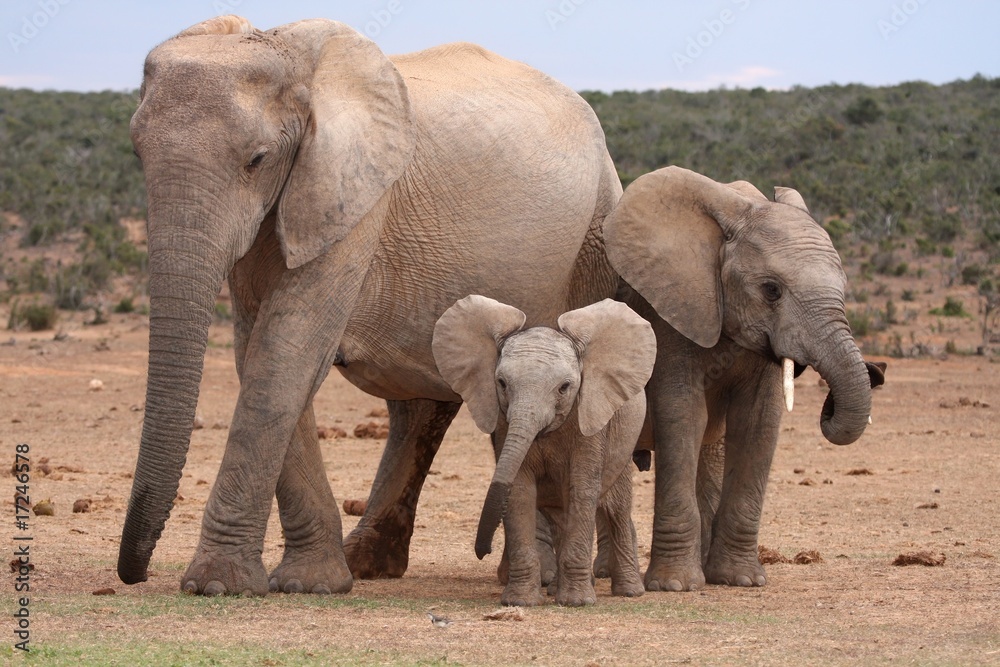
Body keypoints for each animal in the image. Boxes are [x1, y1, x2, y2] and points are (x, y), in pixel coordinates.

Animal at [117, 15, 622, 596]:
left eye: (257, 160)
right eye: (137, 154)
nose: (134, 573)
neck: (291, 55)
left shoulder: (355, 199)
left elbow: (285, 350)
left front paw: (218, 585)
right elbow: (260, 353)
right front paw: (313, 584)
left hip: (595, 234)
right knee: (420, 406)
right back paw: (368, 564)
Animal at [431, 296, 655, 606]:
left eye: (565, 387)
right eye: (501, 384)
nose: (482, 551)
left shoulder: (590, 426)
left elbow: (581, 488)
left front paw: (577, 603)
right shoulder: (504, 423)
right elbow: (520, 492)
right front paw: (520, 601)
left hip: (624, 444)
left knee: (616, 509)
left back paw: (629, 591)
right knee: (561, 515)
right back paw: (557, 589)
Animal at [601, 166, 882, 592]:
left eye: (844, 287)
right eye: (771, 290)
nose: (876, 373)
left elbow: (757, 421)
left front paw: (741, 580)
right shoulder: (668, 309)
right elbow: (683, 414)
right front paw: (676, 586)